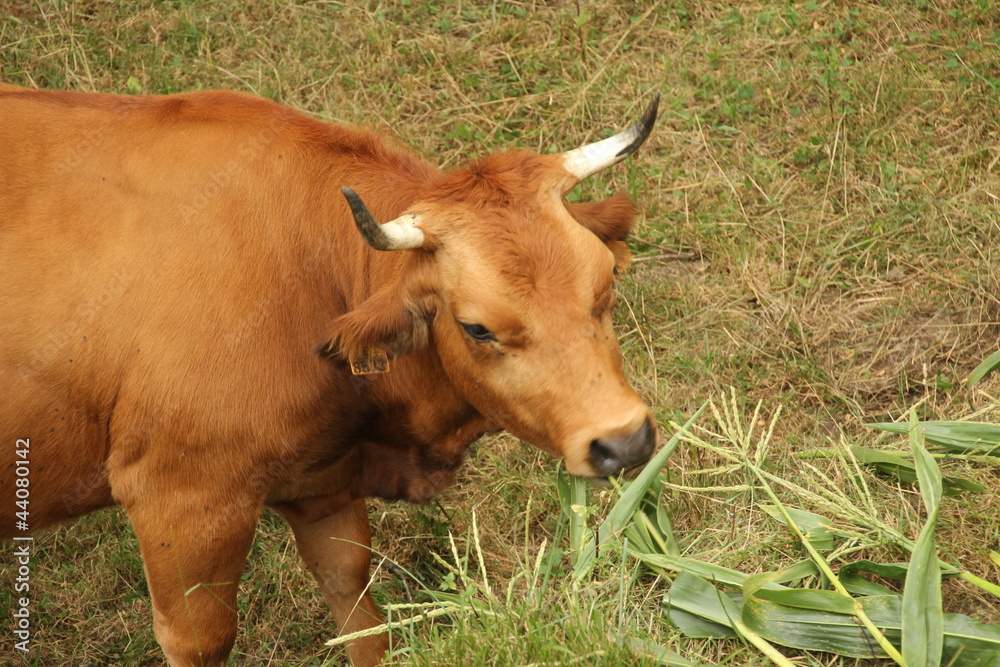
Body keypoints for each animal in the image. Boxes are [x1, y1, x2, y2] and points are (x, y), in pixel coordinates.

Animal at [0, 84, 659, 666]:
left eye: (606, 278)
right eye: (476, 328)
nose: (625, 440)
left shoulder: (324, 482)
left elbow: (357, 608)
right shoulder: (181, 502)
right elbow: (199, 639)